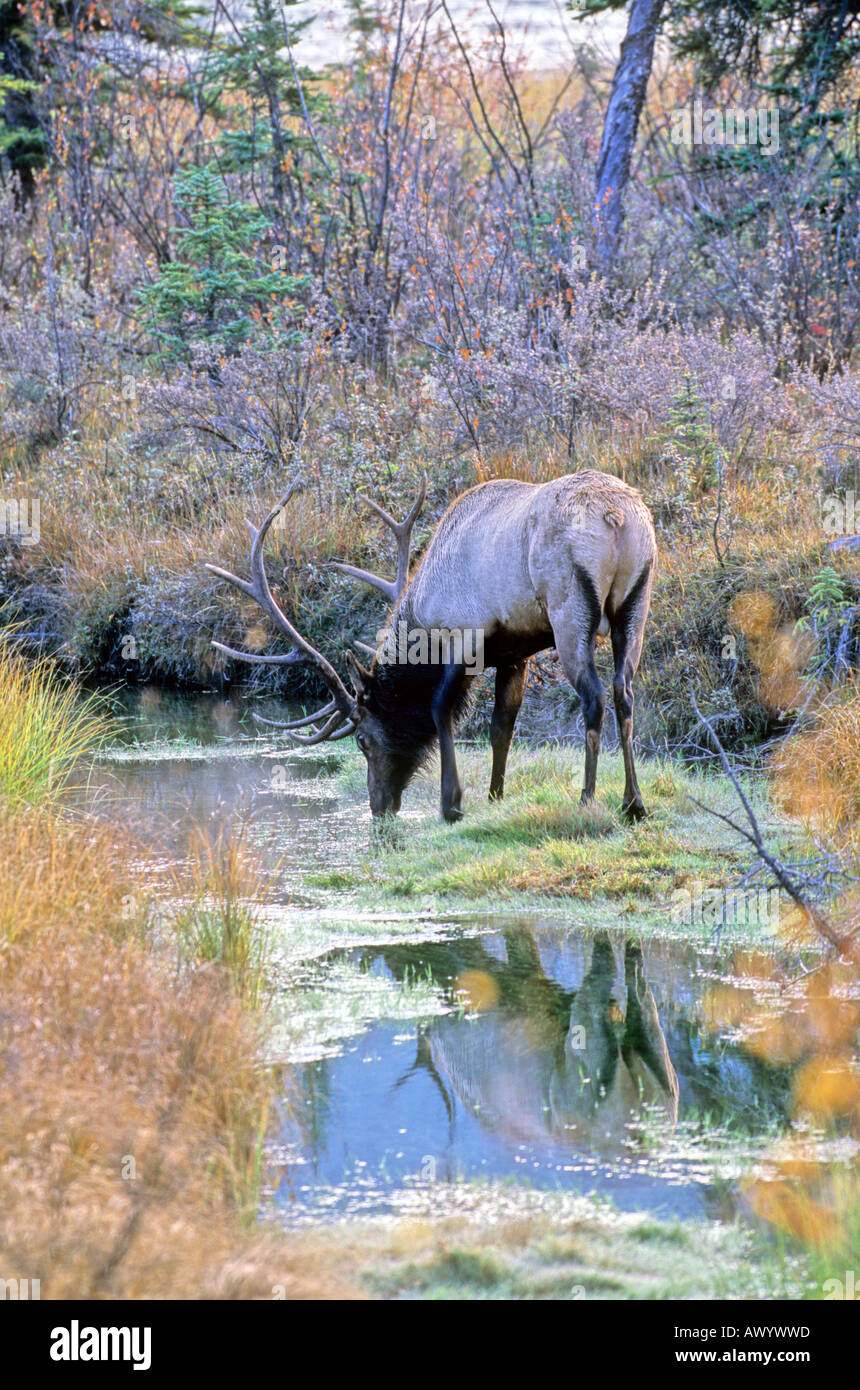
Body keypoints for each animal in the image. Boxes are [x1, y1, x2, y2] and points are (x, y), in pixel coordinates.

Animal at [205, 469, 657, 823]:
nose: (379, 806)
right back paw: (633, 802)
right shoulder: (516, 652)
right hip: (637, 602)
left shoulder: (465, 634)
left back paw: (587, 799)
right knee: (624, 691)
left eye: (362, 739)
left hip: (568, 606)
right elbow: (502, 725)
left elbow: (441, 710)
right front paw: (495, 796)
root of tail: (616, 518)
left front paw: (451, 803)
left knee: (594, 697)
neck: (423, 614)